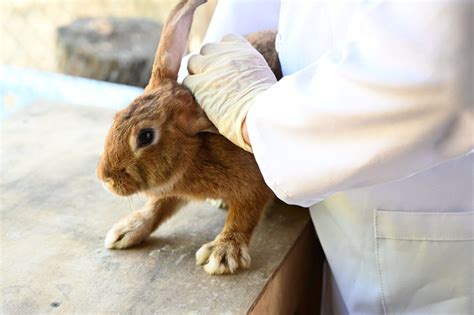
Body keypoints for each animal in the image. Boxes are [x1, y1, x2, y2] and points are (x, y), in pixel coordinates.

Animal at [96, 0, 282, 276]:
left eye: (145, 136)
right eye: (117, 116)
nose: (105, 179)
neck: (197, 148)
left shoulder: (254, 184)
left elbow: (243, 216)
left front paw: (223, 253)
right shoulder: (170, 188)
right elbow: (158, 206)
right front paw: (126, 231)